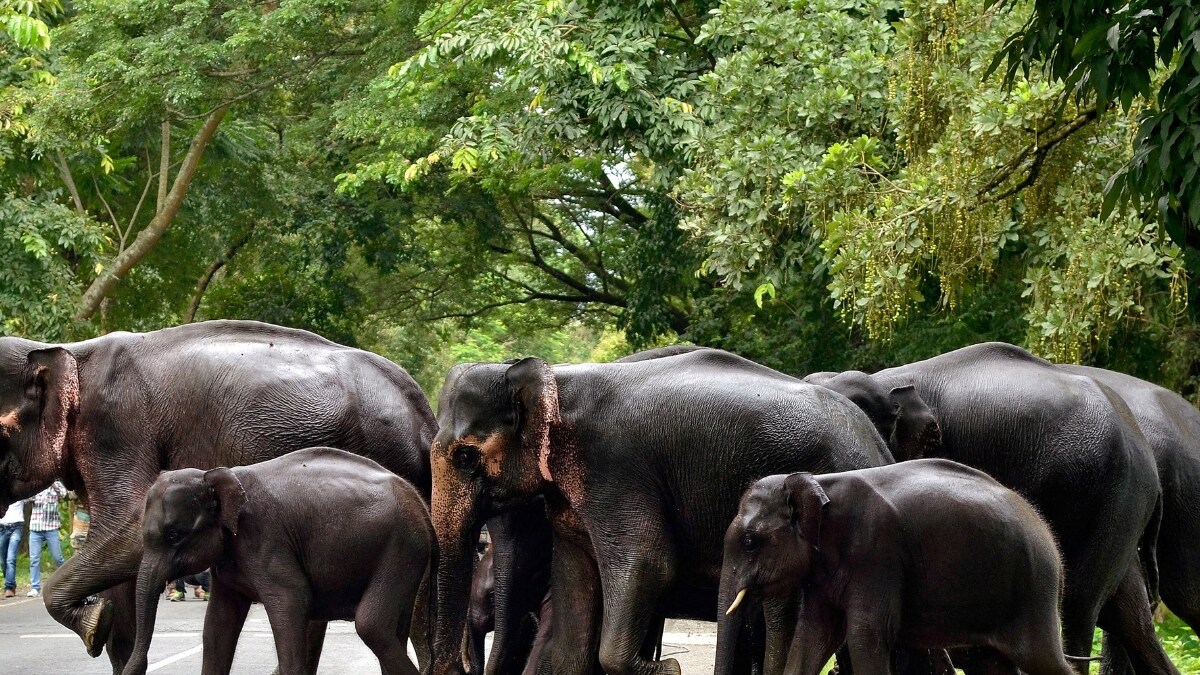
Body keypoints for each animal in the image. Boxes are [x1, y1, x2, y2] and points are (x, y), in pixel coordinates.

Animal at [122, 447, 434, 675]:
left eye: (174, 535)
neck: (217, 475)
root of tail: (420, 503)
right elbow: (217, 624)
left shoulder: (264, 539)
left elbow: (291, 600)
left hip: (401, 547)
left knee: (372, 625)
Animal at [428, 346, 895, 675]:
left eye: (466, 457)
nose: (457, 667)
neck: (558, 376)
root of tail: (875, 442)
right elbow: (570, 623)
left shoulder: (615, 470)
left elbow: (649, 562)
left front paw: (669, 666)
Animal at [717, 460, 1085, 675]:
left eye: (749, 542)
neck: (816, 481)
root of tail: (1046, 532)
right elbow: (813, 636)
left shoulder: (877, 553)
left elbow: (864, 634)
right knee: (990, 663)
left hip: (1033, 591)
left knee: (1042, 660)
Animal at [804, 342, 1176, 675]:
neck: (883, 380)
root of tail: (1143, 448)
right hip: (1122, 504)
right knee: (1129, 615)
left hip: (1112, 493)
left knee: (1080, 605)